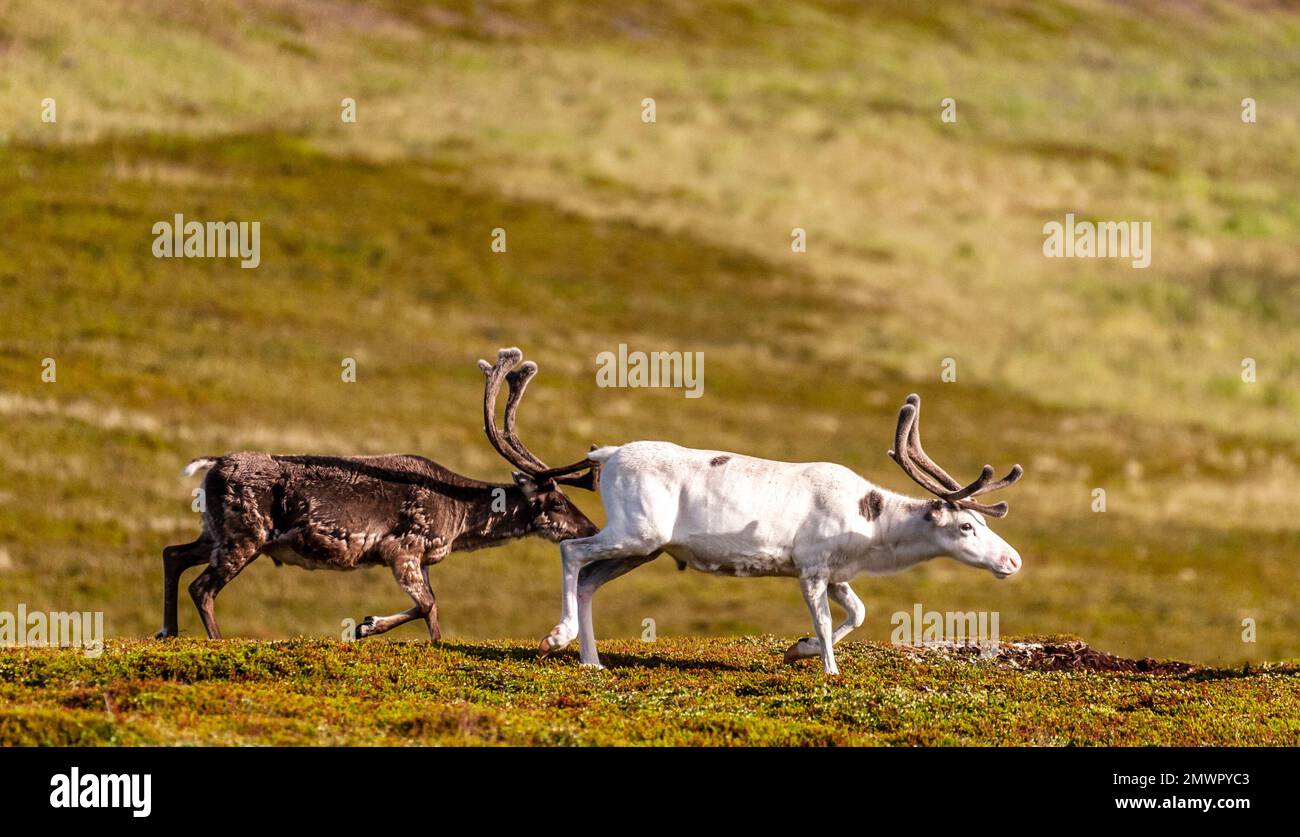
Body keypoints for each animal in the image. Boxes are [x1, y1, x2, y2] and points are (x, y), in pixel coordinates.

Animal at [157, 348, 601, 642]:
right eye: (557, 502)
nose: (591, 527)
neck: (459, 520)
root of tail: (213, 463)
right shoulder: (401, 548)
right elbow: (429, 605)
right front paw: (365, 626)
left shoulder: (423, 558)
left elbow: (433, 611)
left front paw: (418, 640)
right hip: (245, 535)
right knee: (202, 587)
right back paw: (215, 639)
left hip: (215, 532)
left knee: (172, 553)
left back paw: (168, 631)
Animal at [484, 349, 1025, 675]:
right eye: (967, 525)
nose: (1013, 560)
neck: (870, 528)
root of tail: (607, 455)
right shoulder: (810, 567)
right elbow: (826, 621)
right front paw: (828, 669)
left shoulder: (836, 573)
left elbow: (859, 612)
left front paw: (797, 649)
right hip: (637, 531)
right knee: (573, 552)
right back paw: (559, 636)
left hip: (644, 547)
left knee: (590, 579)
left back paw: (592, 661)